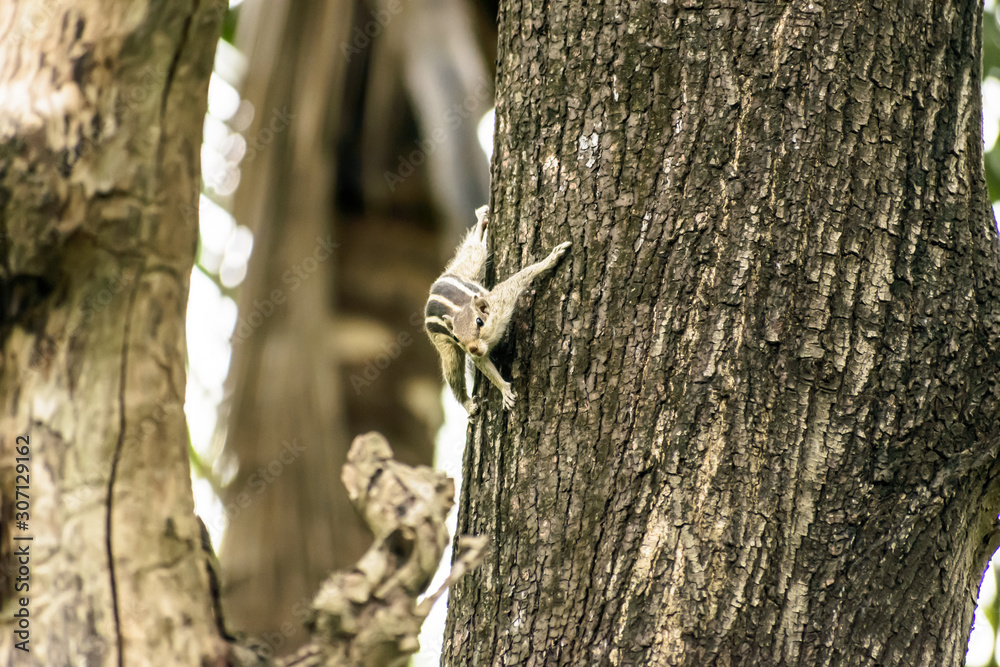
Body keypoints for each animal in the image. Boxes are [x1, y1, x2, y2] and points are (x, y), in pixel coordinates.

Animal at [424, 206, 571, 412]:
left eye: (479, 322)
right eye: (456, 337)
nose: (473, 348)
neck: (490, 337)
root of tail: (436, 285)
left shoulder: (502, 299)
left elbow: (521, 277)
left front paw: (550, 259)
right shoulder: (475, 353)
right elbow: (486, 368)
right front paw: (504, 391)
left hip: (471, 265)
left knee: (473, 249)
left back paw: (481, 221)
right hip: (445, 348)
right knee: (453, 374)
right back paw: (468, 405)